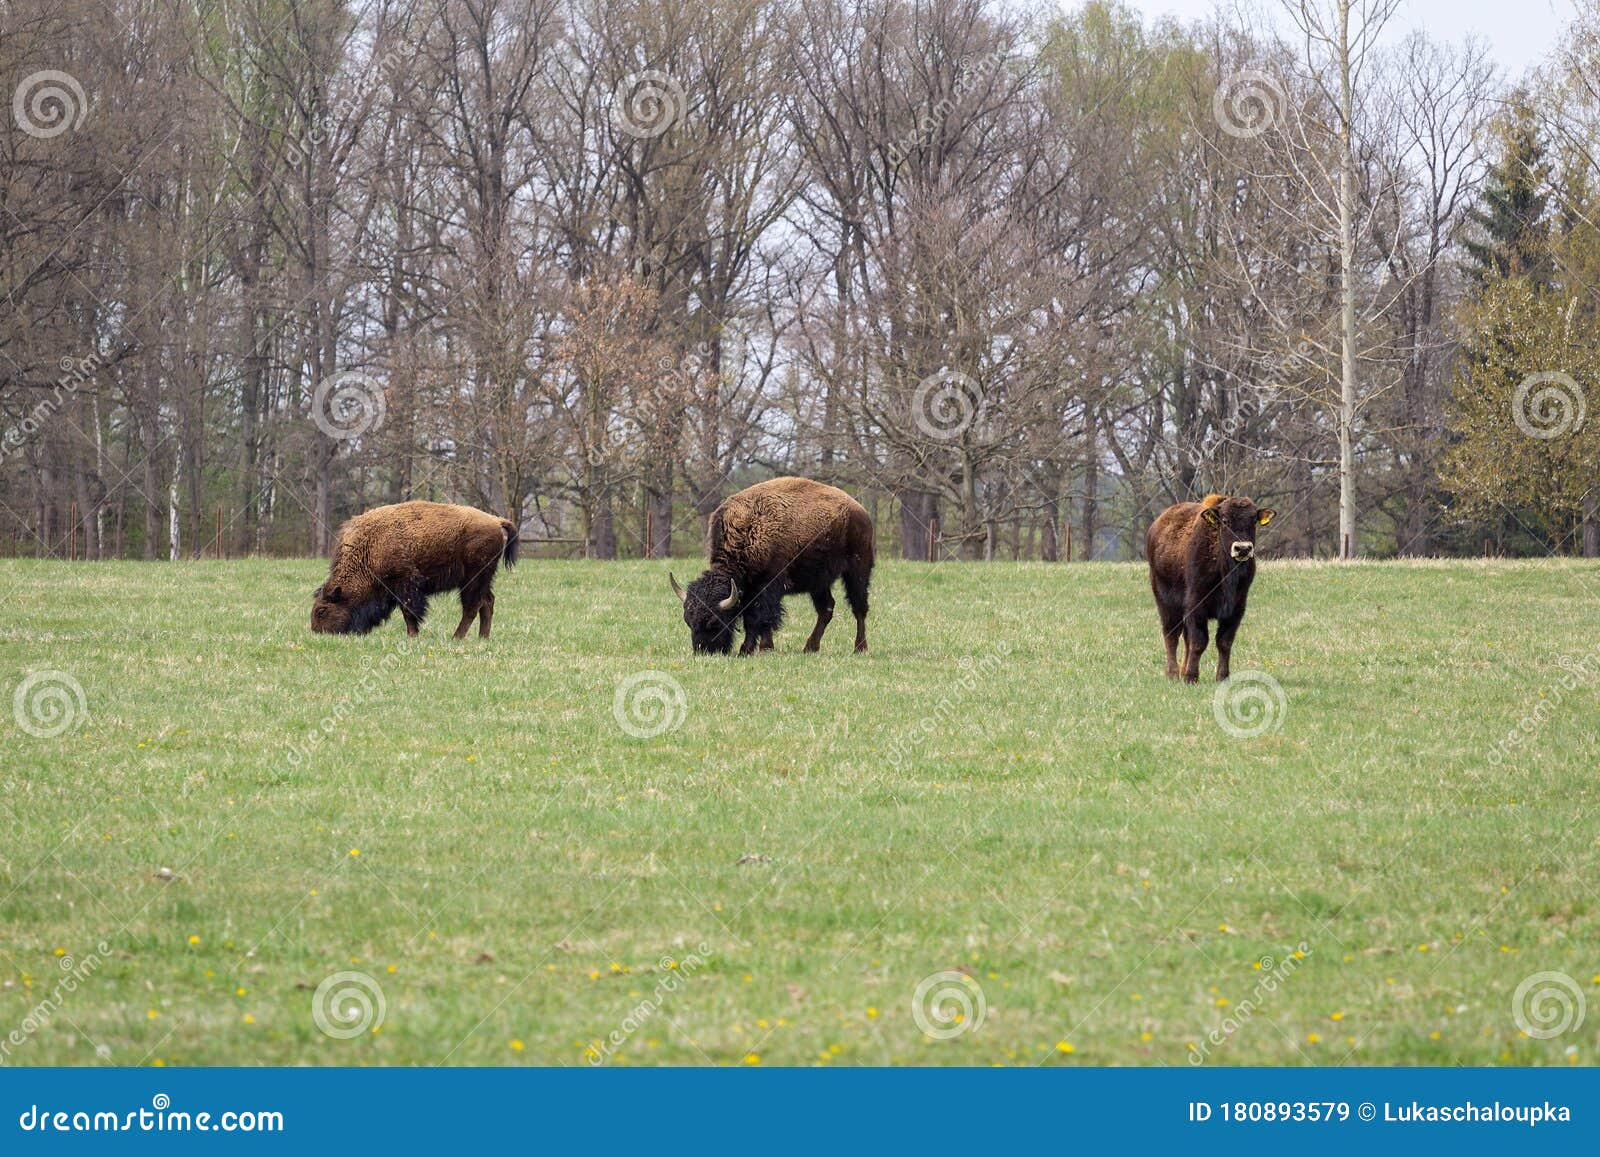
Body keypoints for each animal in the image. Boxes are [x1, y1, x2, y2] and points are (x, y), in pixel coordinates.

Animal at [311, 501, 518, 639]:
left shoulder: (405, 585)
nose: (317, 633)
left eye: (321, 611)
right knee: (487, 602)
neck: (368, 548)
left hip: (473, 579)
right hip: (483, 579)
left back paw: (457, 637)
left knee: (472, 607)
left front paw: (412, 636)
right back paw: (482, 638)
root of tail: (496, 521)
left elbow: (409, 612)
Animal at [670, 476, 875, 655]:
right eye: (688, 621)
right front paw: (754, 648)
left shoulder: (767, 587)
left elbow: (760, 617)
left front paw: (757, 648)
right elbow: (753, 618)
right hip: (819, 582)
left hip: (857, 570)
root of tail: (860, 511)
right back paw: (810, 647)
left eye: (714, 622)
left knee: (859, 608)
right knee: (826, 609)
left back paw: (860, 648)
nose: (704, 651)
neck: (748, 530)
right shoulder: (749, 590)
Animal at [1146, 494, 1275, 682]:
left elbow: (1224, 642)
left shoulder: (1236, 610)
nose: (1242, 548)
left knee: (1185, 637)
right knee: (1171, 634)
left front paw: (1222, 677)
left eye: (1253, 520)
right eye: (1225, 521)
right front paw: (1191, 677)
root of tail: (1157, 524)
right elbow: (1199, 642)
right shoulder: (1196, 606)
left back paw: (1182, 670)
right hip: (1165, 602)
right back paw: (1173, 673)